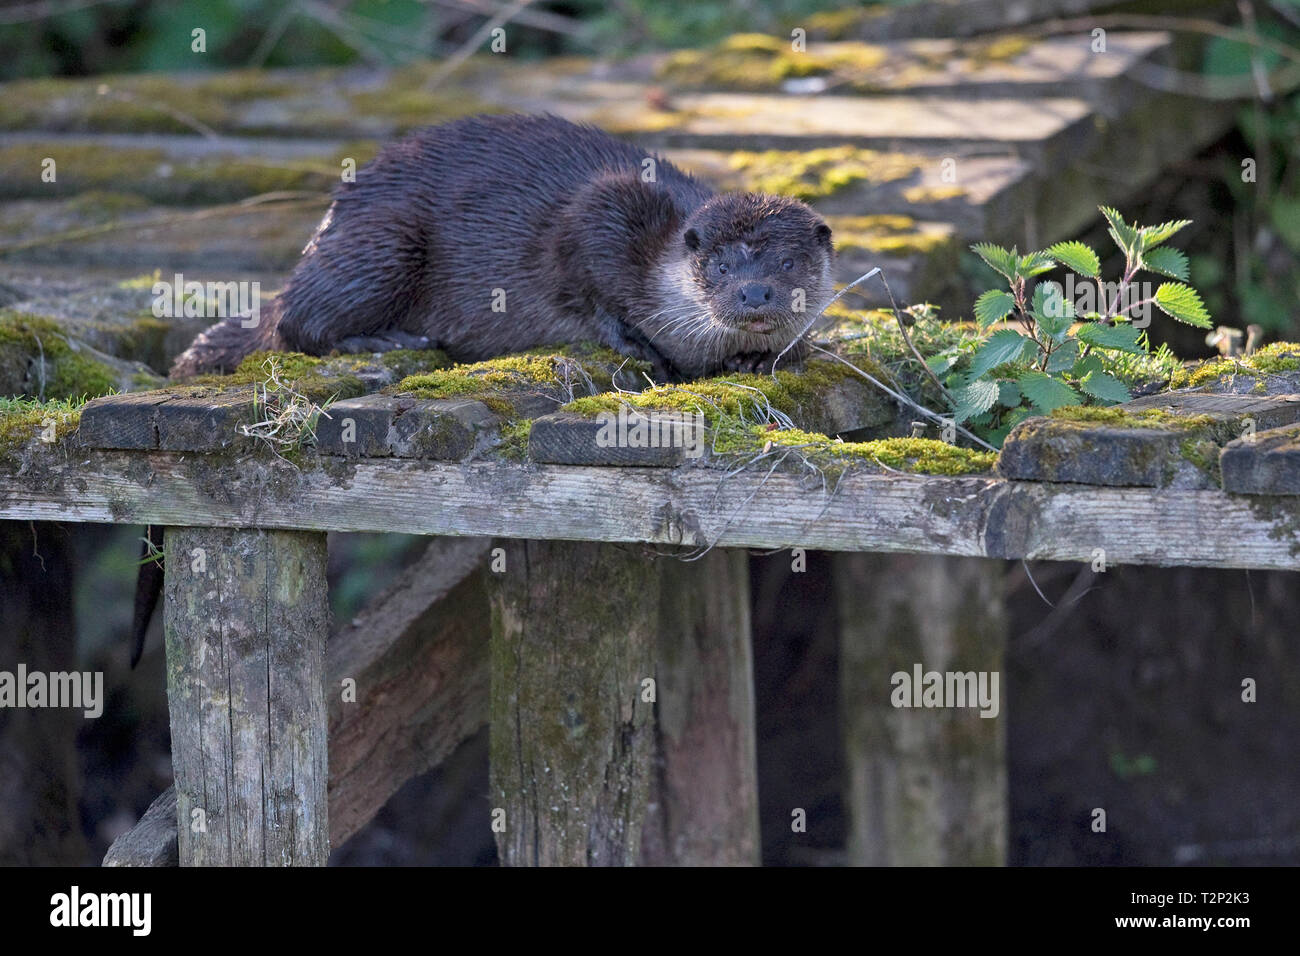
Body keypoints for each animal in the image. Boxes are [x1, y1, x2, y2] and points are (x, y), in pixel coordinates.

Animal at [170, 113, 836, 381]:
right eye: (718, 265)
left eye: (788, 261)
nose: (755, 293)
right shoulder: (608, 211)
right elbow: (580, 275)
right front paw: (633, 340)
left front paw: (766, 357)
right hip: (383, 241)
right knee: (293, 321)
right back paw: (383, 339)